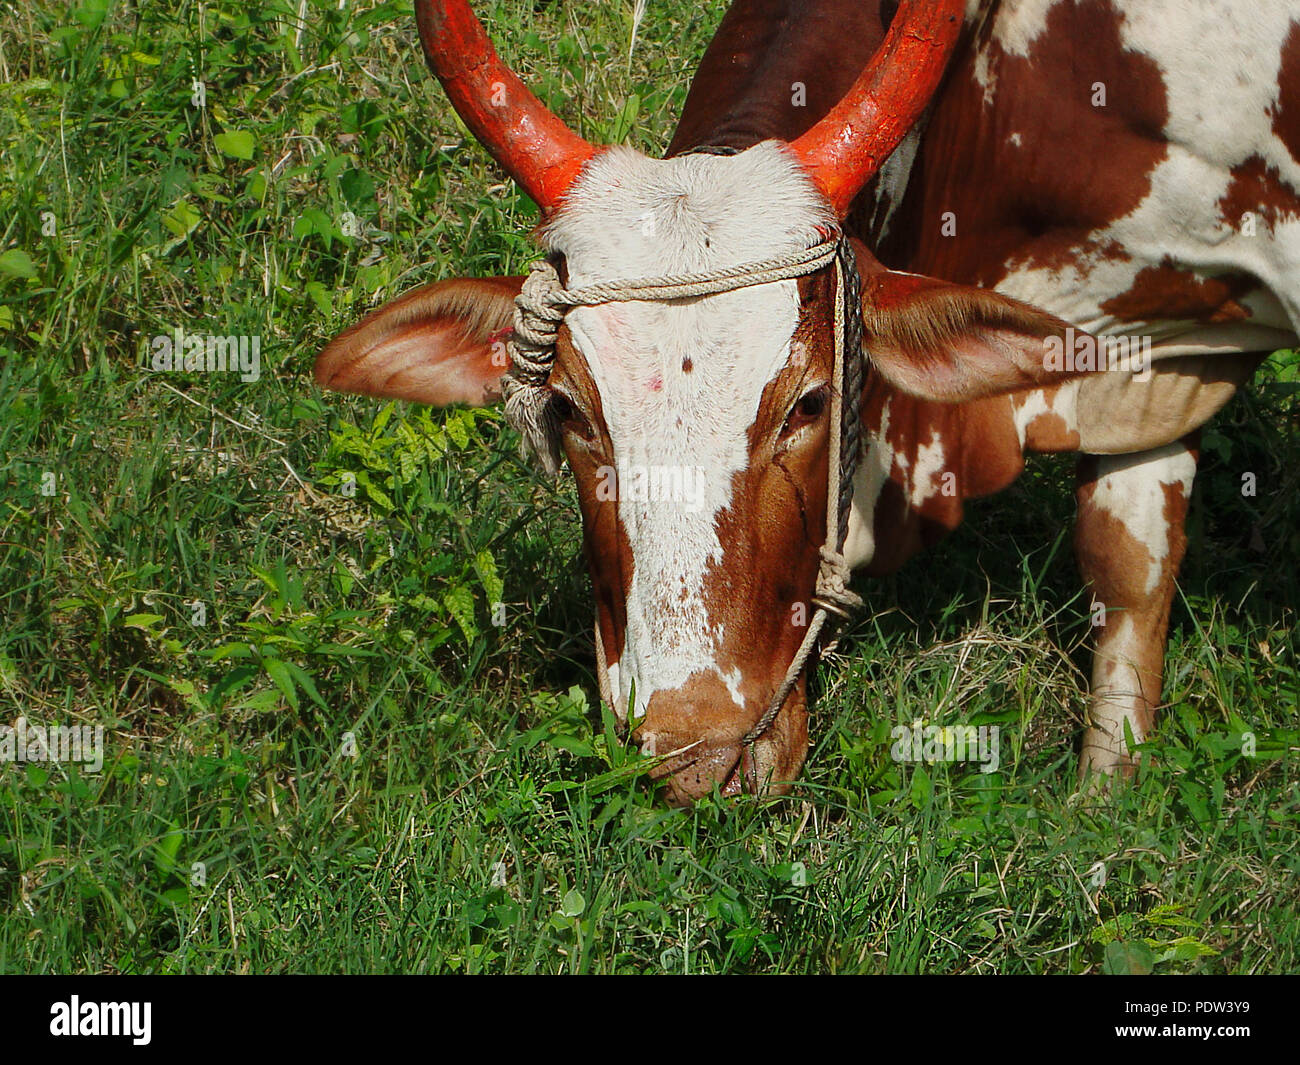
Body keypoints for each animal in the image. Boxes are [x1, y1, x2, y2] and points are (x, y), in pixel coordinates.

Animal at [315, 0, 1299, 806]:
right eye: (567, 410)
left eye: (810, 402)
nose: (696, 761)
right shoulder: (1143, 362)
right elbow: (1128, 560)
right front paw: (1105, 798)